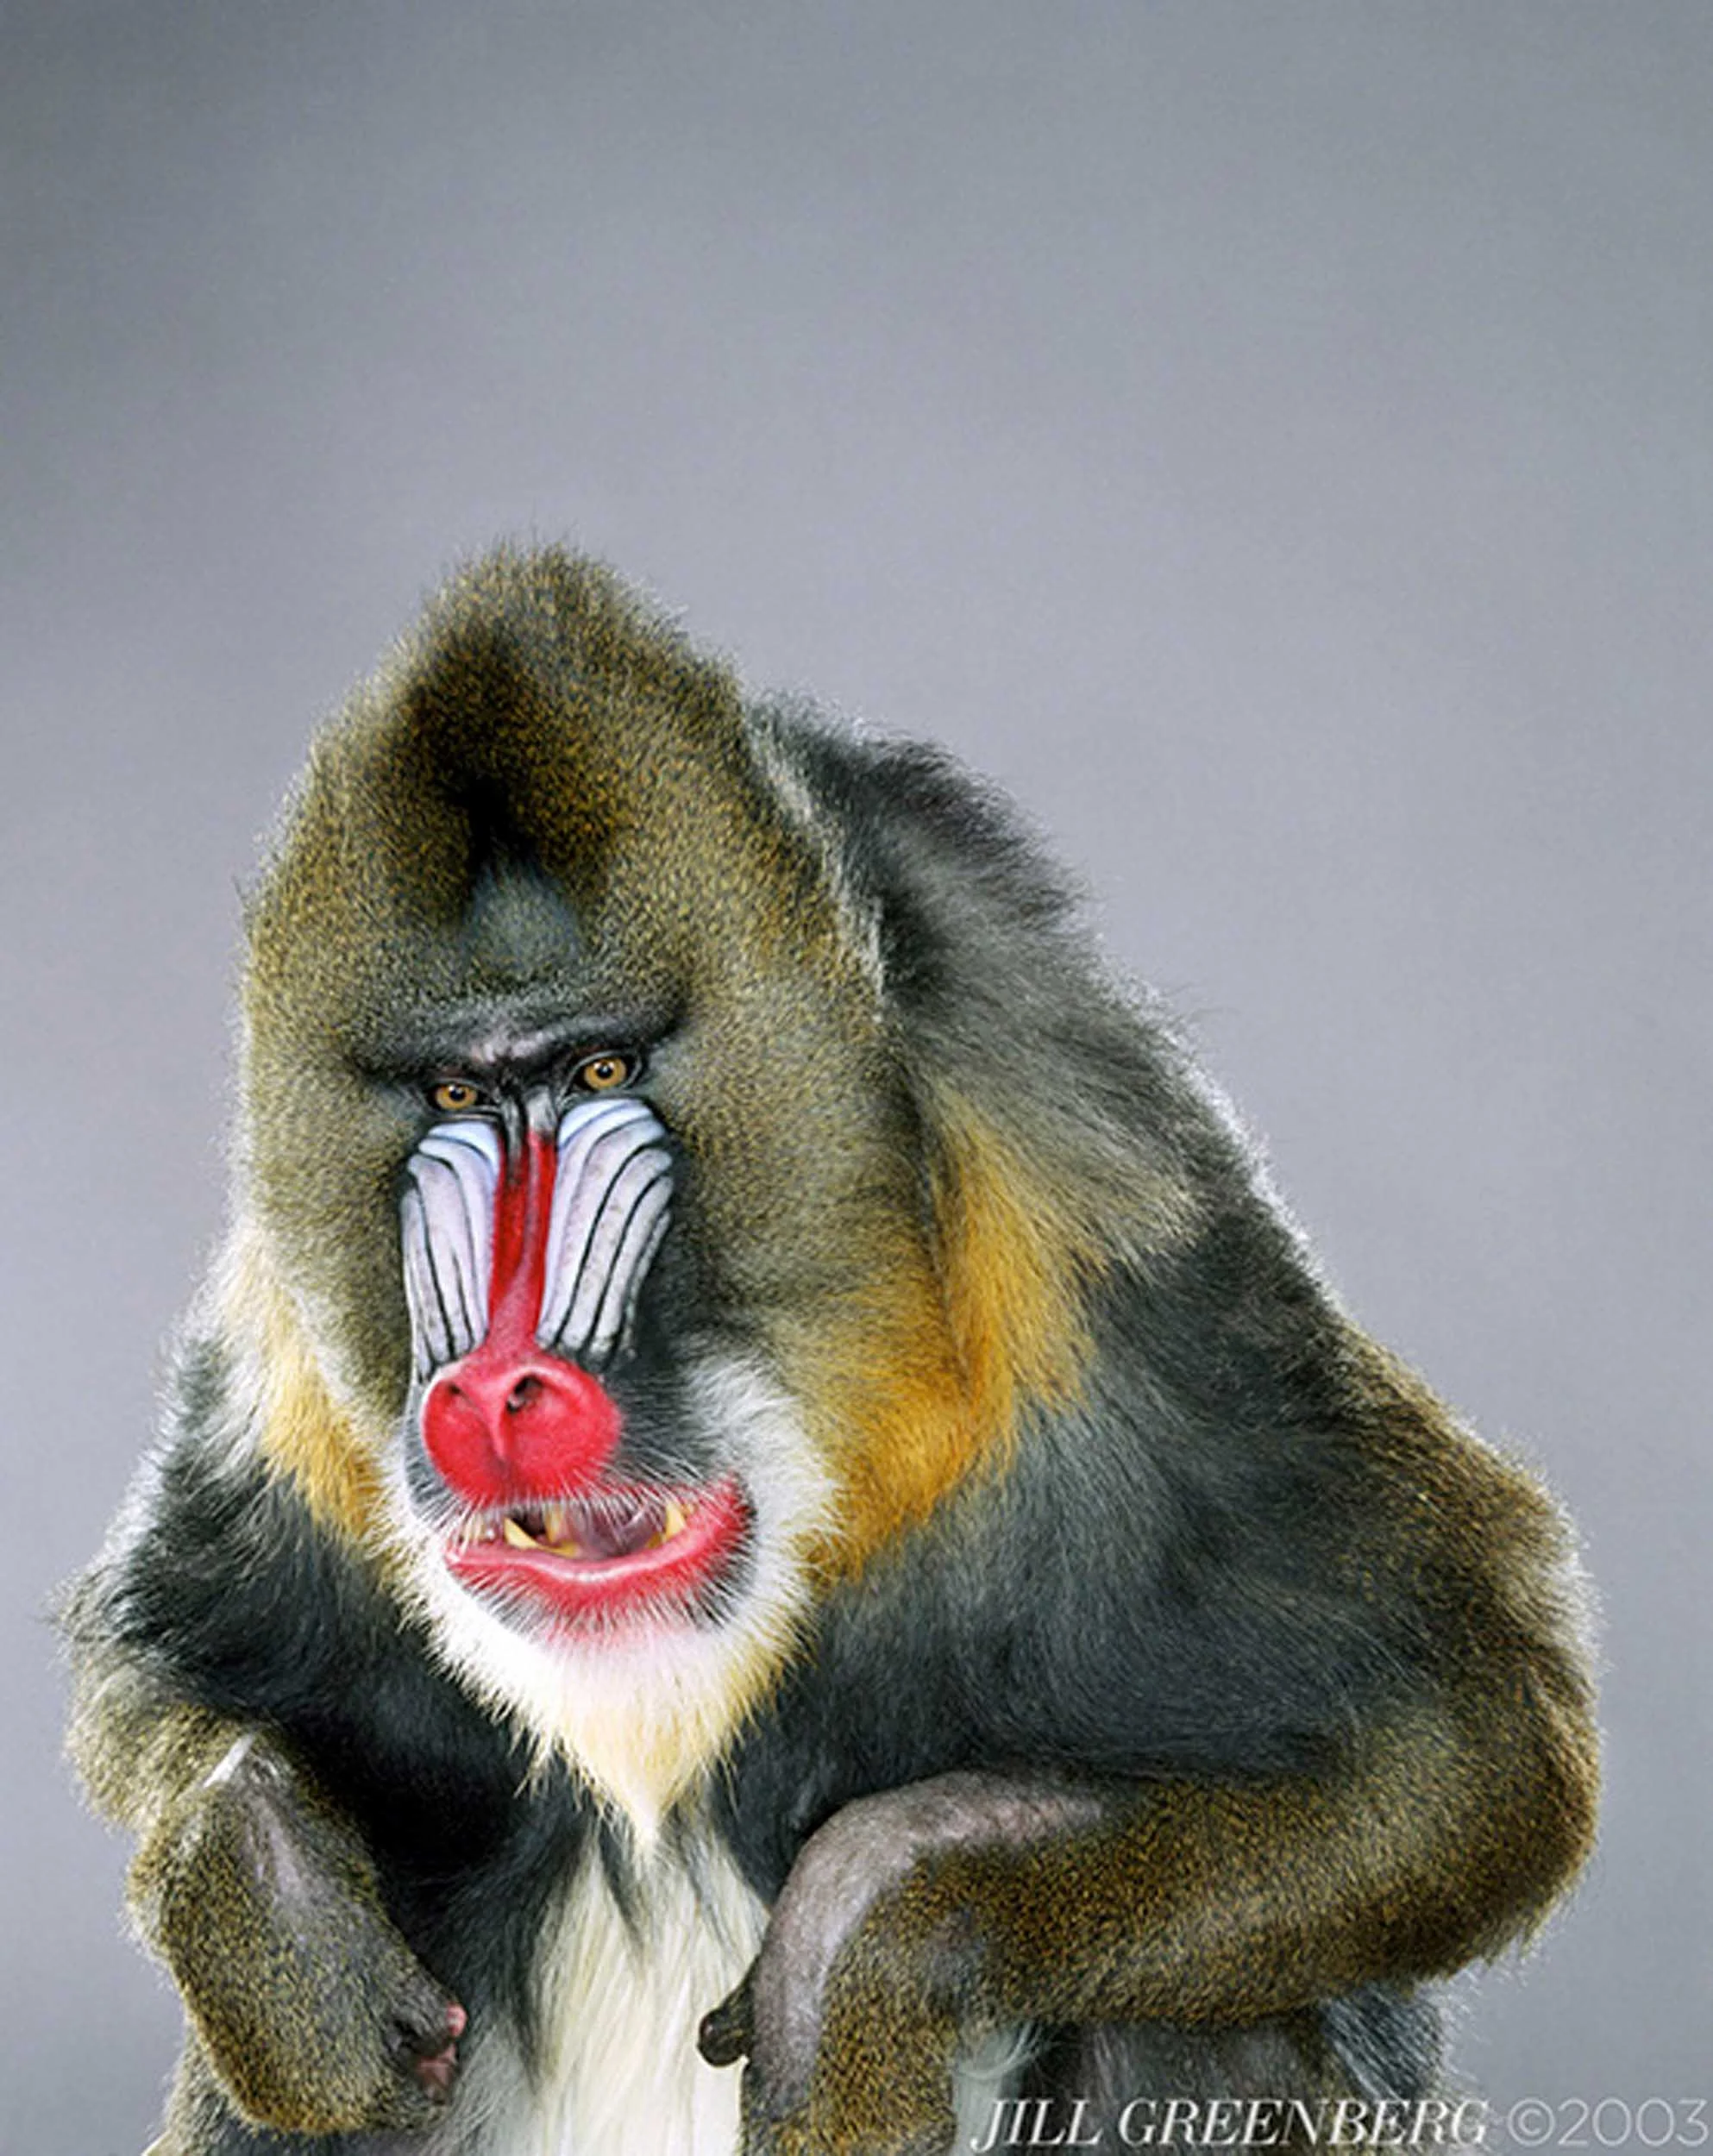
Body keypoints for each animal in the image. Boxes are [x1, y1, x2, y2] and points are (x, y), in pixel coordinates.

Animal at [63, 547, 1598, 2156]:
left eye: (601, 1069)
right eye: (455, 1097)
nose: (489, 1393)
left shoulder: (1119, 1279)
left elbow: (1468, 1748)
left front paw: (876, 1925)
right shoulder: (280, 1391)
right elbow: (161, 1665)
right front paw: (261, 1877)